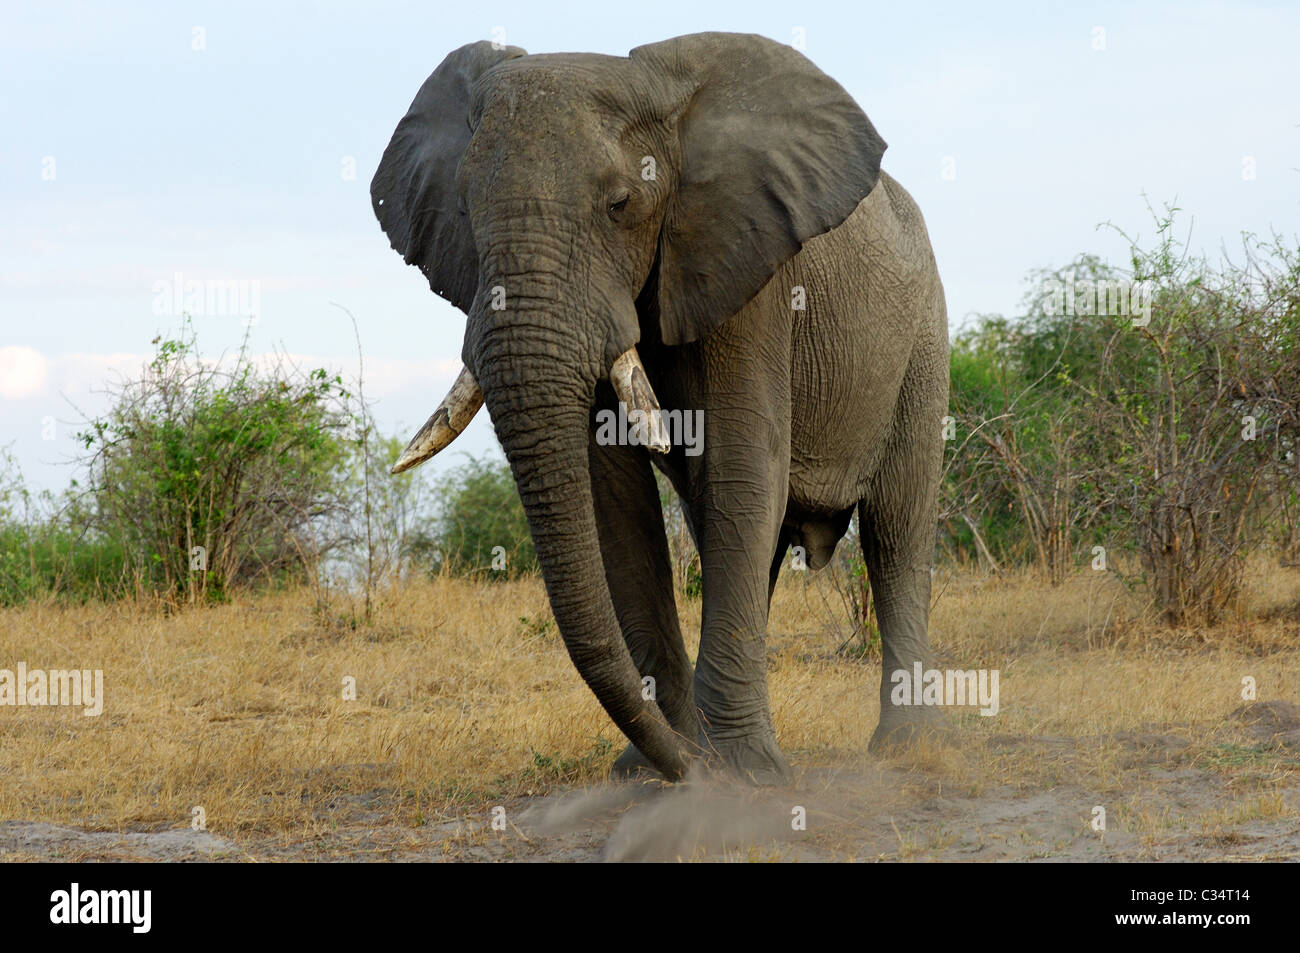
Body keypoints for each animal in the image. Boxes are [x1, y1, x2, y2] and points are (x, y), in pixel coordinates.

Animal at [371, 32, 949, 785]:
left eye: (620, 204)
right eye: (465, 211)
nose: (686, 770)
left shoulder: (749, 273)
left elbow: (741, 467)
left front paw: (742, 773)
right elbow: (615, 499)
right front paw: (653, 771)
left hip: (923, 337)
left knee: (896, 529)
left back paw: (902, 748)